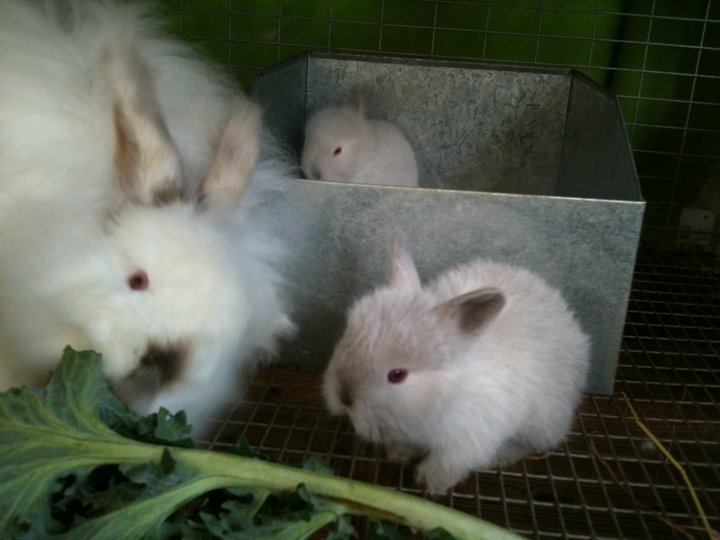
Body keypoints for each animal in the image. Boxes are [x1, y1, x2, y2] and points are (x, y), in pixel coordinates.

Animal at [323, 233, 591, 494]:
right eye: (347, 334)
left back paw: (502, 456)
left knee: (530, 444)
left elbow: (450, 462)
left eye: (397, 375)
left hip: (542, 418)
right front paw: (399, 455)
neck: (445, 393)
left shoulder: (471, 437)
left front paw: (430, 481)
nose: (344, 398)